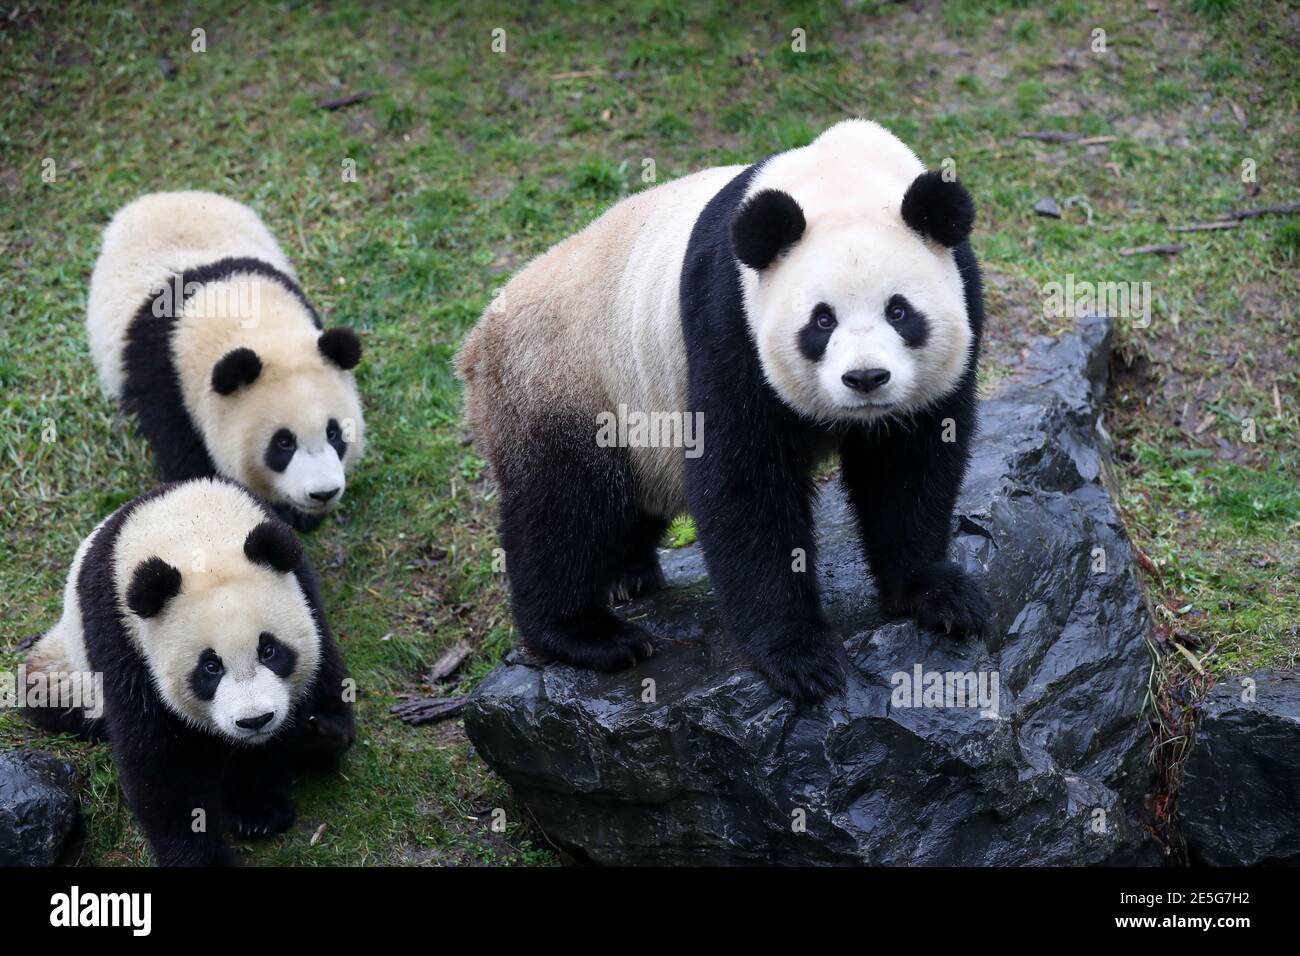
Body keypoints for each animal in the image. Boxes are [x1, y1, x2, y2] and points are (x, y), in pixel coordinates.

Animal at [23, 478, 355, 866]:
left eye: (269, 650)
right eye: (210, 667)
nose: (255, 720)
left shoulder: (302, 587)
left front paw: (258, 809)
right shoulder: (121, 639)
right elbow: (159, 761)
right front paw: (202, 855)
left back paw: (323, 734)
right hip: (71, 670)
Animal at [86, 191, 366, 531]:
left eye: (334, 433)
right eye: (283, 443)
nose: (323, 493)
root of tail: (164, 196)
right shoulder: (167, 383)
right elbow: (188, 459)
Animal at [456, 119, 990, 702]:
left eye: (899, 311)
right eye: (821, 320)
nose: (866, 378)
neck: (841, 177)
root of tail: (477, 342)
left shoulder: (962, 288)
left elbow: (910, 462)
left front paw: (938, 596)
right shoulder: (727, 315)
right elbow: (742, 477)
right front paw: (800, 656)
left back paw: (626, 575)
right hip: (562, 380)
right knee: (564, 508)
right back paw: (588, 635)